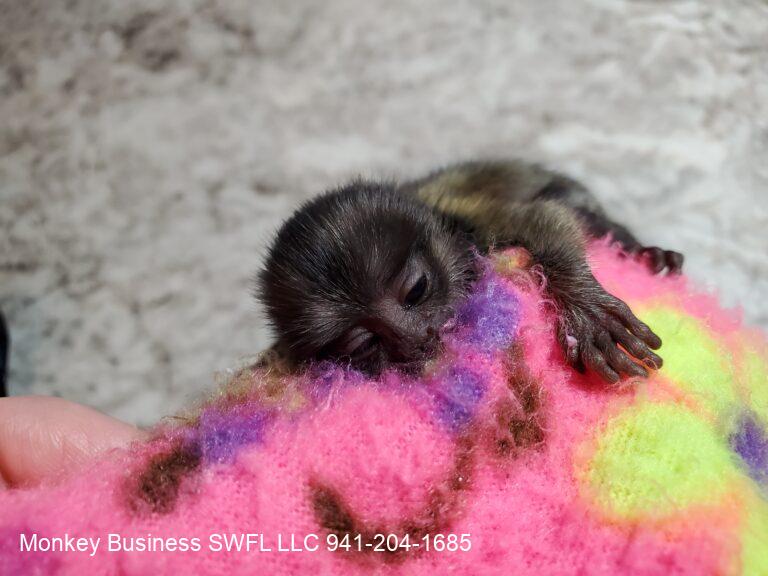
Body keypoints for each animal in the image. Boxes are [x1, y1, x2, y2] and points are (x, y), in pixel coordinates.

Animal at [257, 160, 683, 384]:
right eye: (362, 343)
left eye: (416, 290)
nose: (419, 337)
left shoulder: (478, 224)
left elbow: (542, 218)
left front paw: (586, 312)